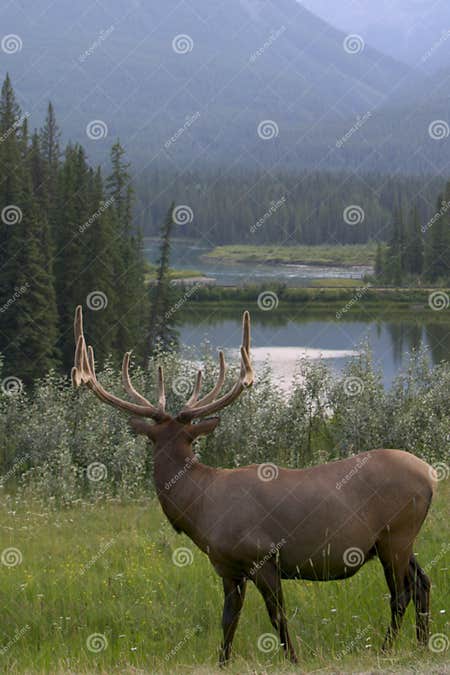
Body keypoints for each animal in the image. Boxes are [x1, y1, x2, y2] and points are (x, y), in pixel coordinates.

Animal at [72, 305, 436, 666]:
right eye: (157, 440)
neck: (200, 509)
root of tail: (431, 474)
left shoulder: (262, 555)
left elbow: (277, 615)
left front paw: (294, 659)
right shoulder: (227, 567)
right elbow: (228, 619)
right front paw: (222, 661)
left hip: (396, 534)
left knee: (401, 593)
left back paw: (388, 648)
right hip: (399, 539)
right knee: (423, 582)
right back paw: (422, 644)